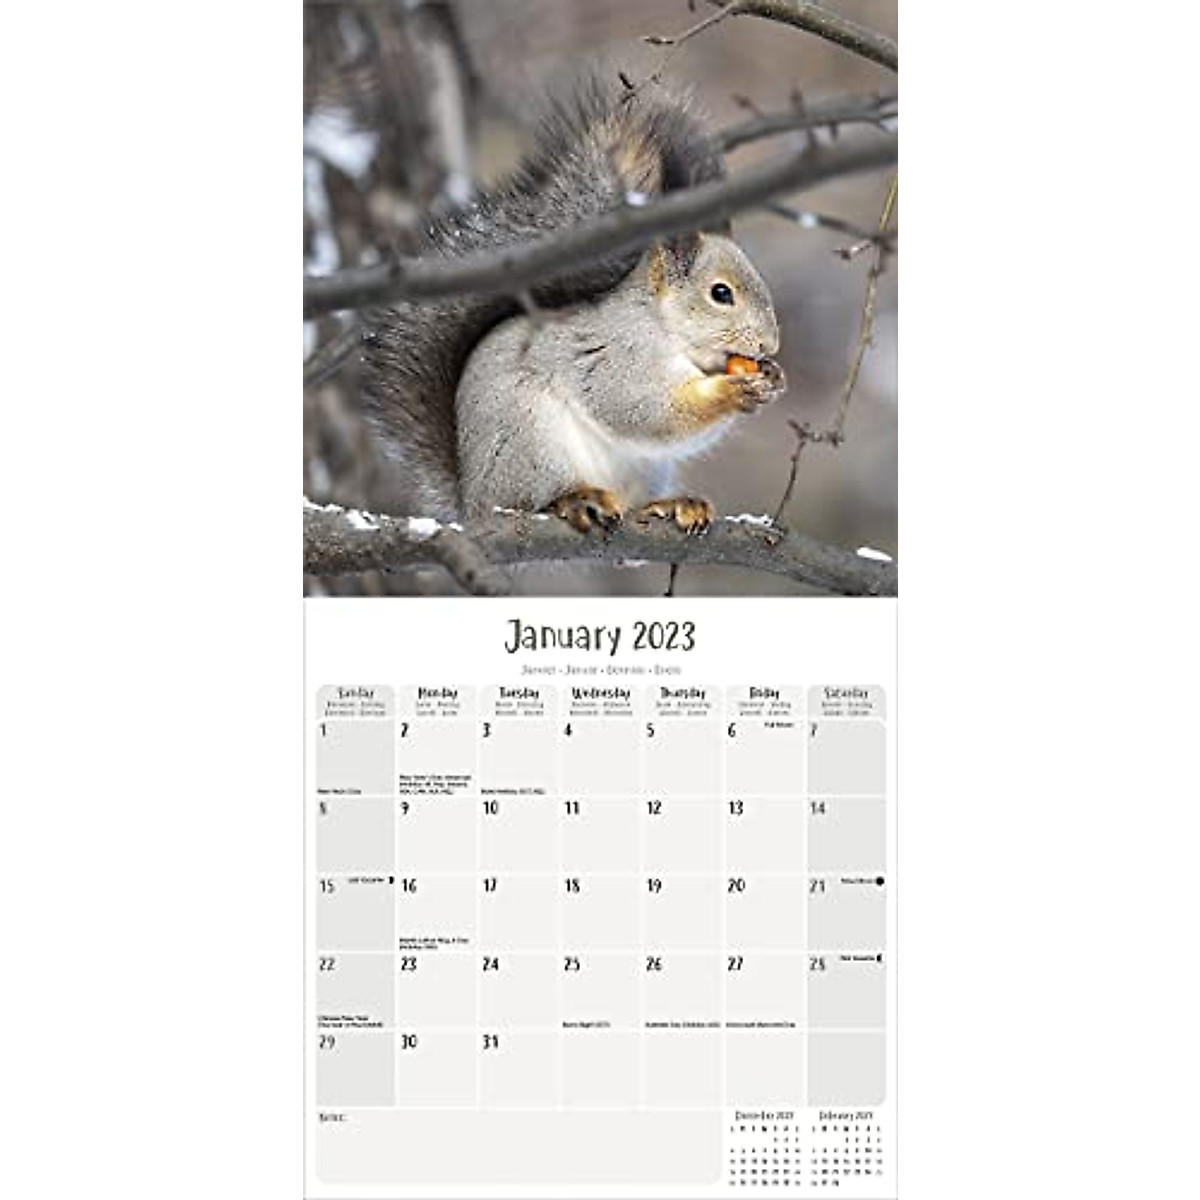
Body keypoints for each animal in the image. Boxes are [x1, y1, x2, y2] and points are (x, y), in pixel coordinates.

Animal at [361, 74, 786, 535]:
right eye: (721, 293)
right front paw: (730, 391)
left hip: (644, 469)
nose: (770, 346)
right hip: (530, 439)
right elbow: (641, 409)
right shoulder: (618, 358)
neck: (666, 332)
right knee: (536, 497)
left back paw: (670, 505)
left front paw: (772, 379)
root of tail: (473, 502)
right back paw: (576, 500)